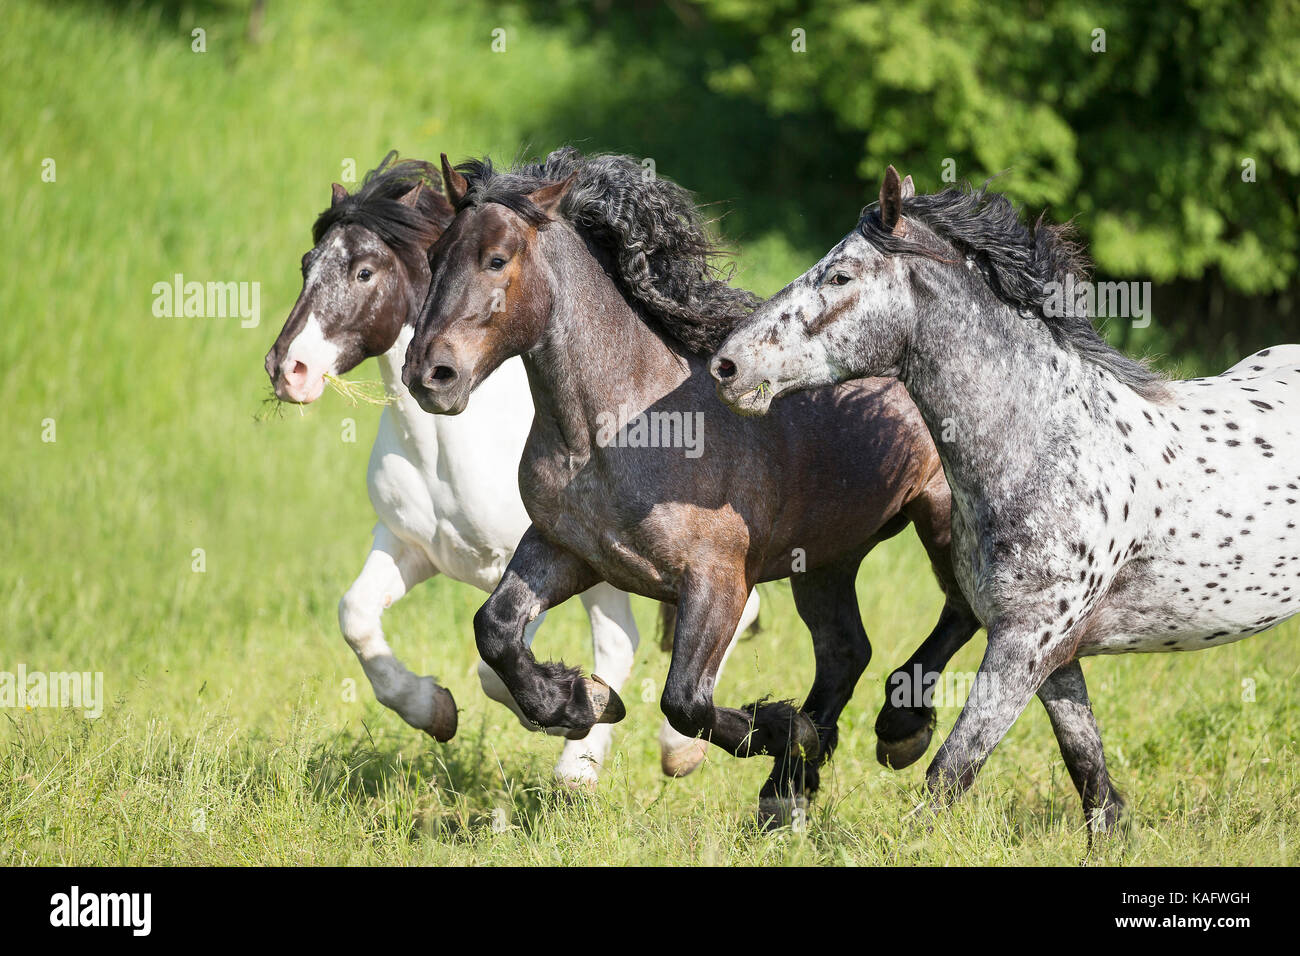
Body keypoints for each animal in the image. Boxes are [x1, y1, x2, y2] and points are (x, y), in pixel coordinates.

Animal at [262, 153, 760, 787]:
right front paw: (435, 712)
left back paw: (644, 754)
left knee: (668, 630)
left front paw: (570, 708)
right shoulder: (409, 546)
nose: (287, 369)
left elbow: (493, 670)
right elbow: (356, 617)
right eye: (308, 265)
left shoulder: (528, 558)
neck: (448, 454)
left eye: (364, 272)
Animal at [401, 147, 982, 823]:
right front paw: (583, 700)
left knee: (961, 609)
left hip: (942, 516)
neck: (618, 429)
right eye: (435, 257)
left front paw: (786, 730)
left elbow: (685, 701)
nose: (429, 375)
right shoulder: (567, 549)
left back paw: (896, 730)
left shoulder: (718, 579)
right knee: (845, 652)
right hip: (826, 557)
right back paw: (789, 788)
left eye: (496, 258)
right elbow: (495, 629)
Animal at [711, 165, 1300, 832]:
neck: (1053, 446)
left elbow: (950, 773)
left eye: (839, 276)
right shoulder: (1055, 655)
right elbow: (1089, 773)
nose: (727, 366)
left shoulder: (1024, 645)